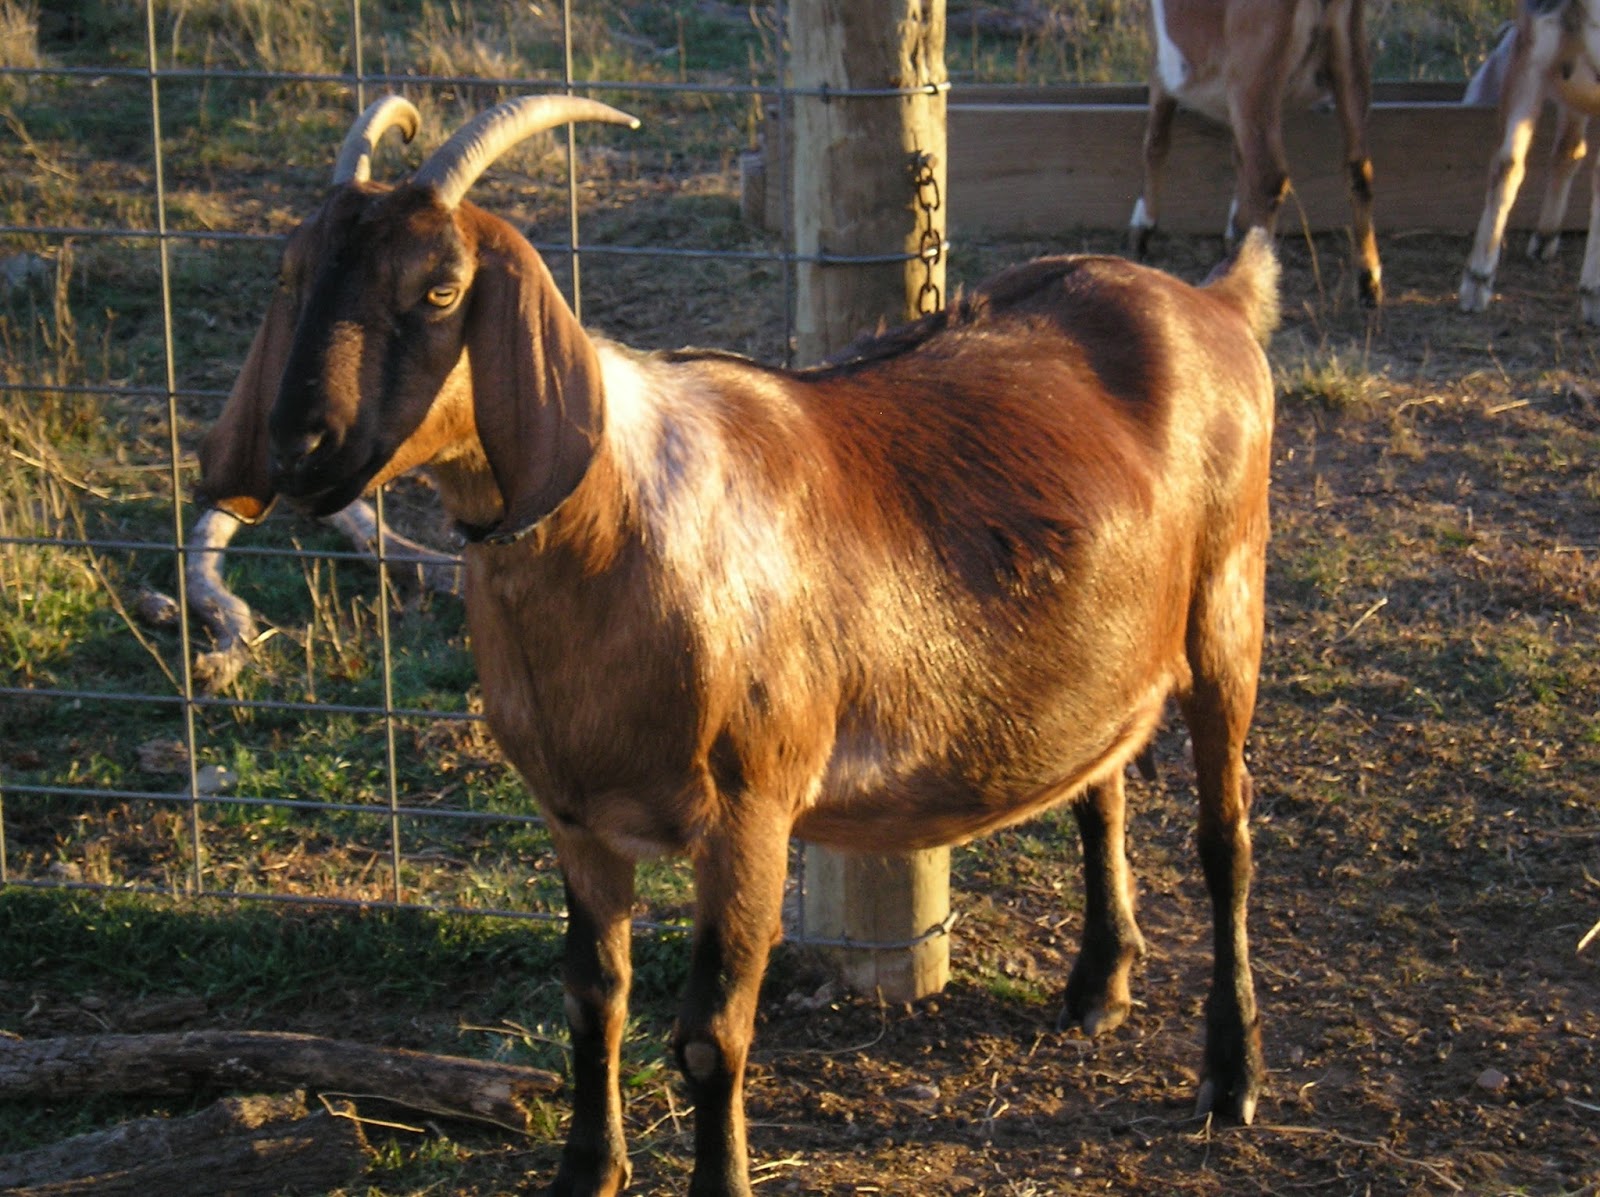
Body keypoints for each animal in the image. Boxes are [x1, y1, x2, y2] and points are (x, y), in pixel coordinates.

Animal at [194, 94, 1280, 1197]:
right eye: (293, 274)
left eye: (441, 287)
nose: (299, 448)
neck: (613, 523)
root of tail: (1212, 306)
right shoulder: (575, 816)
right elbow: (593, 995)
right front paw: (588, 1170)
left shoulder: (750, 810)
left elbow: (711, 1037)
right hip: (1109, 647)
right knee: (1099, 784)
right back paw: (1099, 983)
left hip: (1228, 607)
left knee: (1226, 838)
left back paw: (1230, 1074)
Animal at [1130, 0, 1382, 306]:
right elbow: (1237, 155)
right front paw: (1234, 232)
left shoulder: (1163, 64)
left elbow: (1156, 140)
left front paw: (1142, 229)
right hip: (1350, 56)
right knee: (1359, 168)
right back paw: (1368, 282)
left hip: (1253, 78)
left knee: (1268, 178)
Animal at [1459, 0, 1600, 322]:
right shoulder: (1531, 51)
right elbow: (1508, 164)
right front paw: (1477, 281)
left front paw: (1593, 294)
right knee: (1570, 149)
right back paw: (1545, 238)